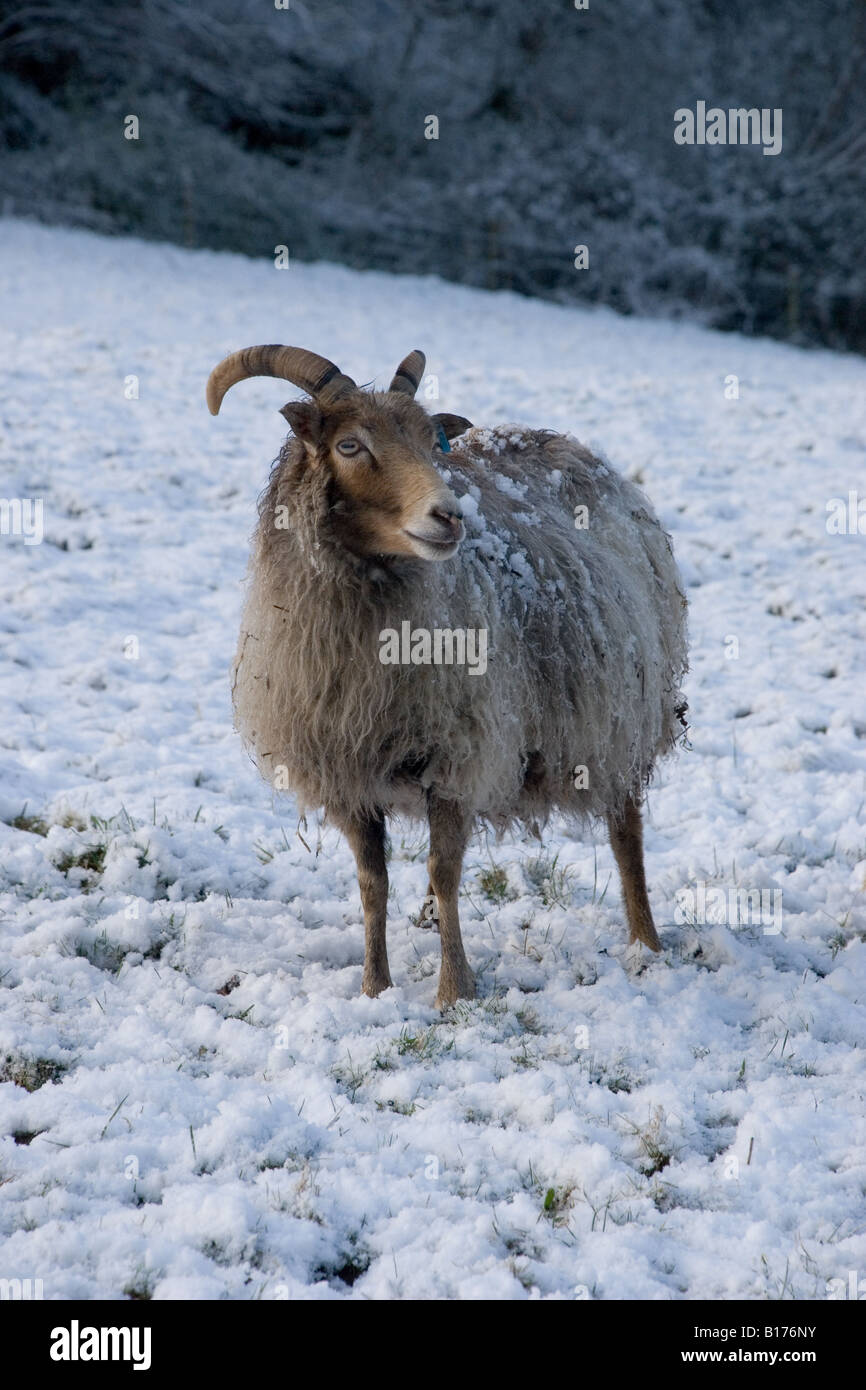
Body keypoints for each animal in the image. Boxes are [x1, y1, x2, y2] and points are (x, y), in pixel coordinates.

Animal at [207, 344, 688, 1007]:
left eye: (431, 446)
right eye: (349, 445)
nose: (450, 516)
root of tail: (569, 444)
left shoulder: (460, 751)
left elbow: (446, 867)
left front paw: (453, 991)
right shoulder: (346, 768)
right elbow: (372, 881)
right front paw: (375, 987)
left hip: (618, 715)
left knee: (626, 832)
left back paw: (645, 943)